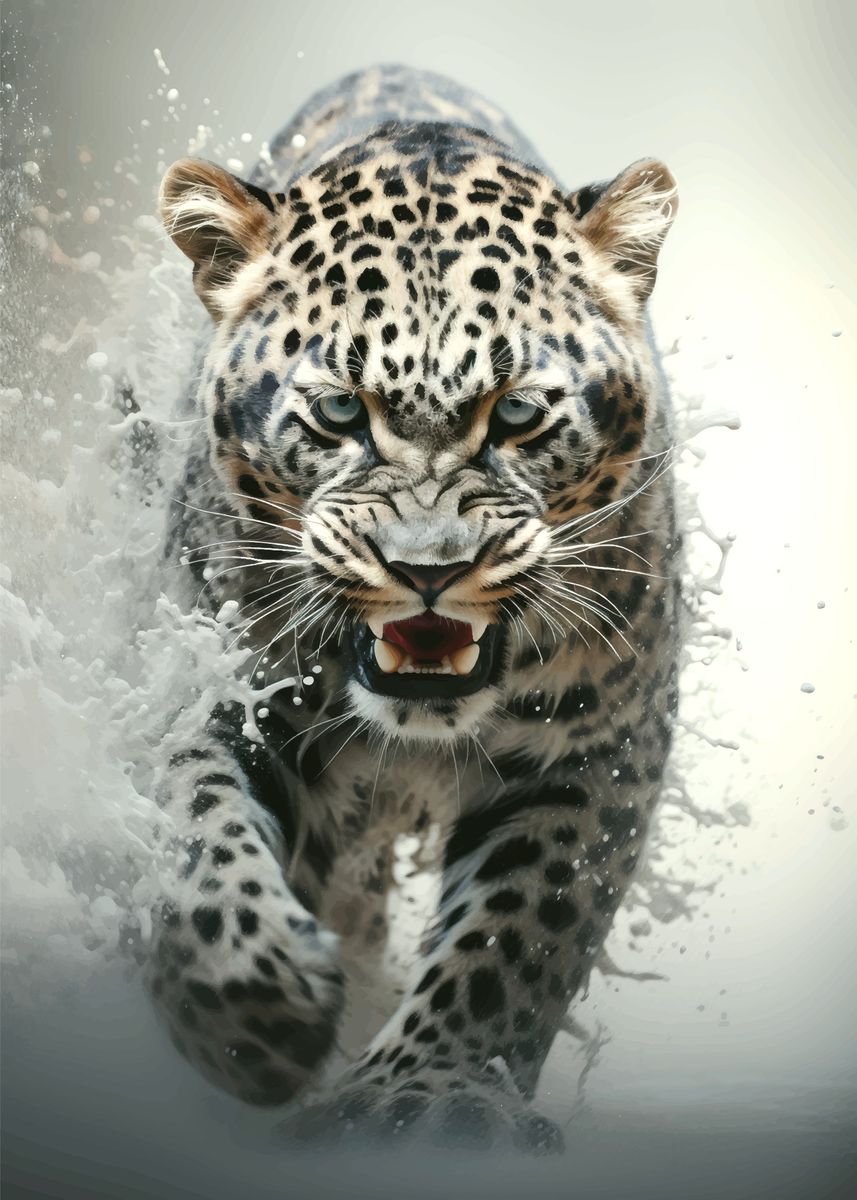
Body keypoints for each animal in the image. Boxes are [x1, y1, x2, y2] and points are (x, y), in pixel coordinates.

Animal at [147, 64, 681, 1154]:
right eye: (339, 413)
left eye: (515, 414)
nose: (426, 570)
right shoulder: (208, 686)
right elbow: (195, 834)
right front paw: (251, 1014)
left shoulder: (593, 753)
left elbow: (514, 936)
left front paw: (426, 1096)